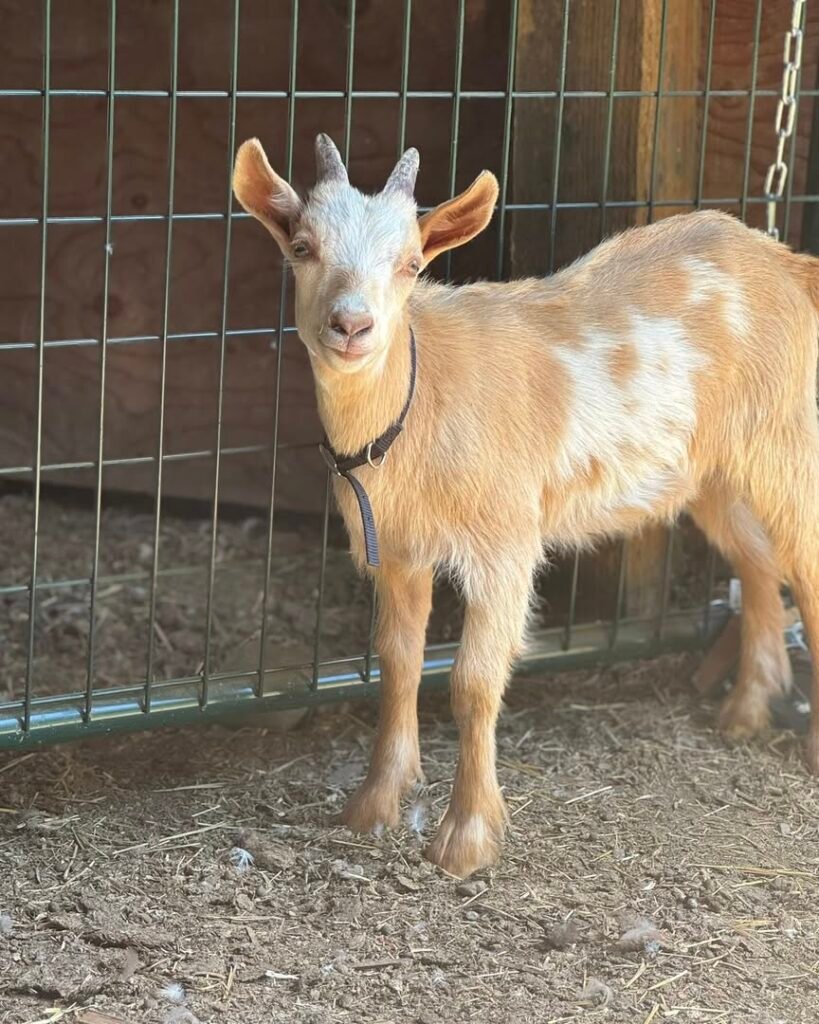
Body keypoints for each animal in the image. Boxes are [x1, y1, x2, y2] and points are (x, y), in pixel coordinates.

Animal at [233, 133, 819, 878]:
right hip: (712, 471)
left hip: (782, 435)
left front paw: (465, 838)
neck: (420, 404)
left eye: (412, 263)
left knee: (806, 562)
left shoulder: (504, 541)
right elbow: (396, 662)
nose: (351, 325)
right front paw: (374, 804)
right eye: (303, 246)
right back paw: (744, 709)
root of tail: (788, 263)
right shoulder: (398, 548)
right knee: (757, 558)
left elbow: (474, 681)